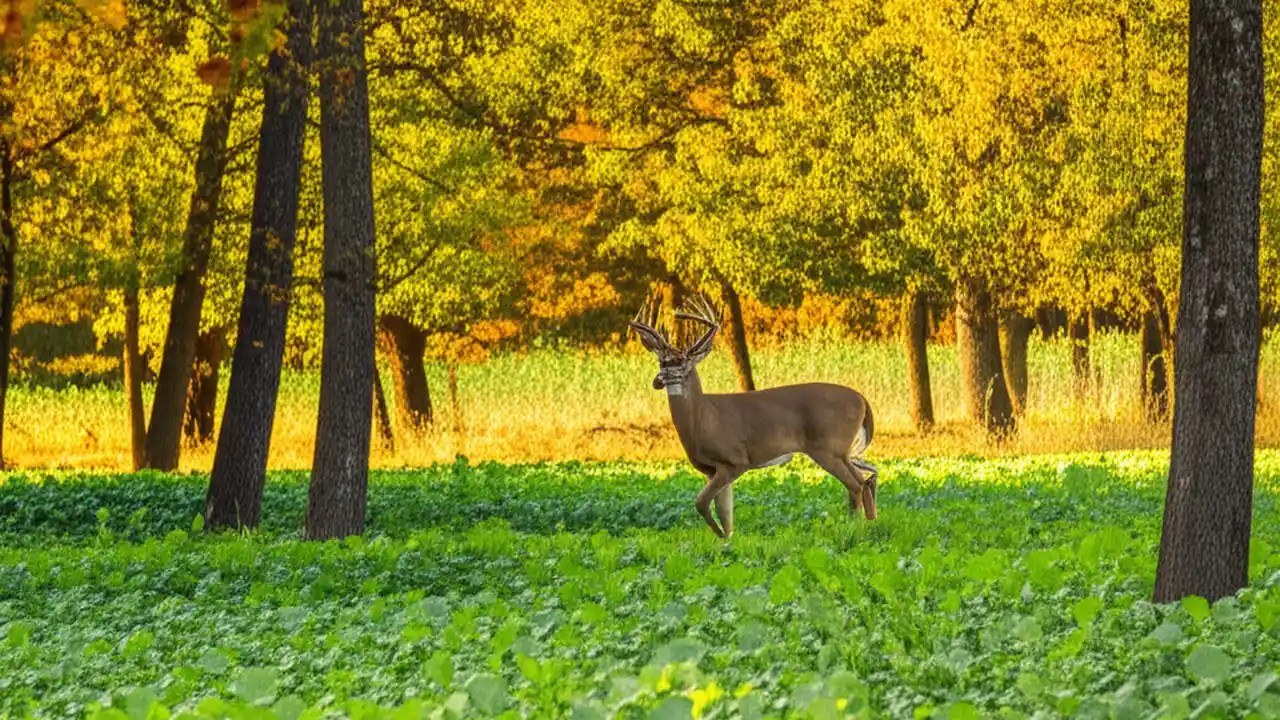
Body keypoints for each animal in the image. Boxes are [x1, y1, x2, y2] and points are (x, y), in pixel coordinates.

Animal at [629, 295, 879, 538]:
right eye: (662, 361)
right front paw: (727, 543)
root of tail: (863, 400)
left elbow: (701, 503)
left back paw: (854, 530)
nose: (666, 376)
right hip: (841, 451)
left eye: (685, 363)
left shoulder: (735, 460)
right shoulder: (711, 469)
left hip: (828, 447)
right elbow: (726, 514)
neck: (703, 419)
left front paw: (721, 537)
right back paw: (868, 524)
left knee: (856, 485)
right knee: (864, 480)